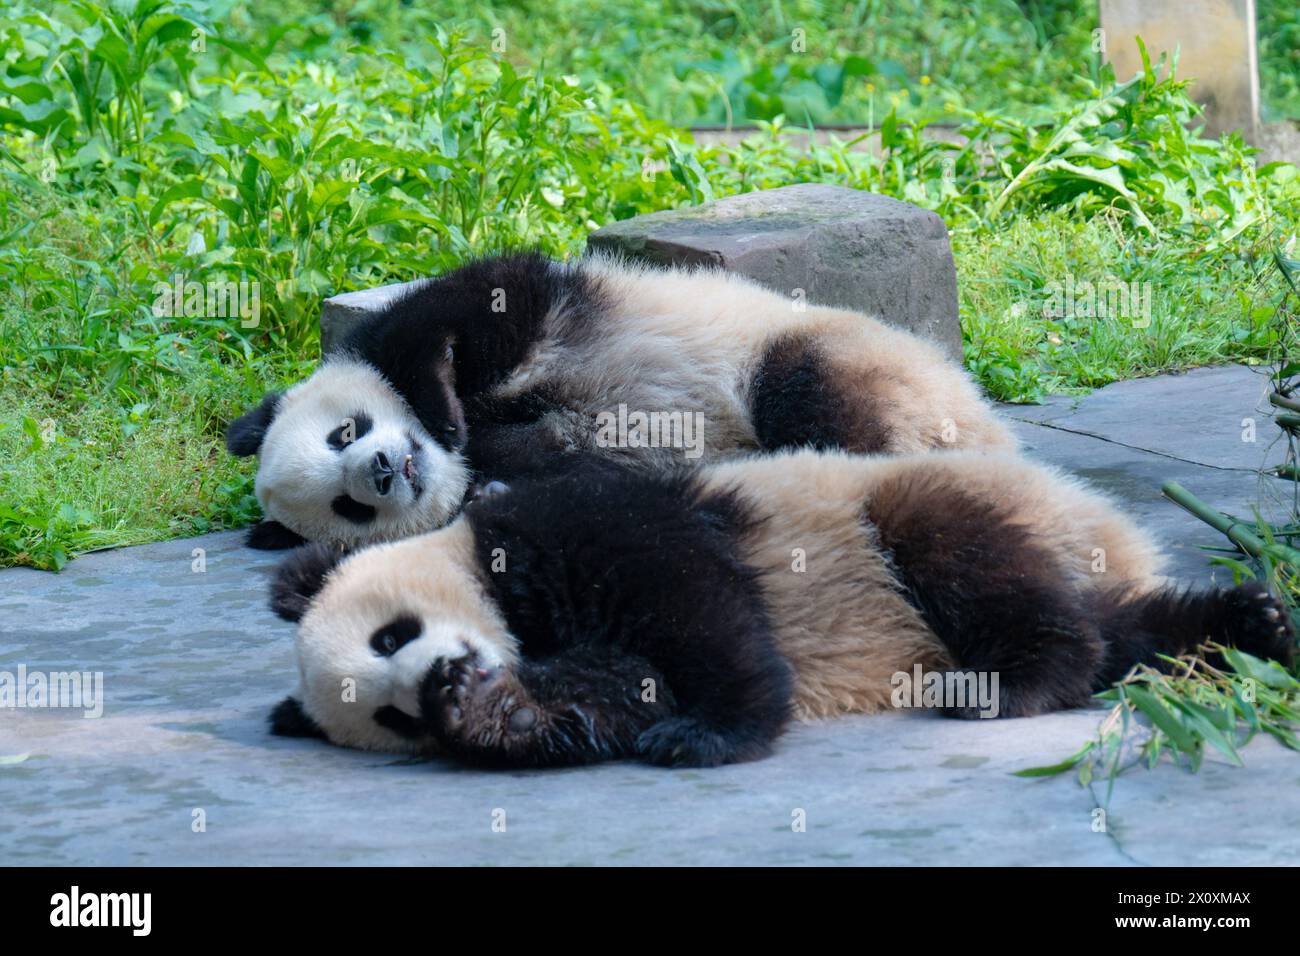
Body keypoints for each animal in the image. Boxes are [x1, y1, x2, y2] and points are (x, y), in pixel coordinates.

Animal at [226, 251, 1016, 550]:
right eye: (349, 507)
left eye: (343, 433)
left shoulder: (538, 309)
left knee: (817, 398)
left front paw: (441, 406)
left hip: (833, 351)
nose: (386, 471)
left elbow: (484, 304)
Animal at [265, 450, 1295, 768]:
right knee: (1134, 633)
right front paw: (491, 711)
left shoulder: (565, 520)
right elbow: (610, 694)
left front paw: (708, 734)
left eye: (390, 634)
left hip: (945, 499)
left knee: (958, 548)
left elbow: (692, 604)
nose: (443, 672)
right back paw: (1252, 626)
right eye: (394, 715)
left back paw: (1012, 682)